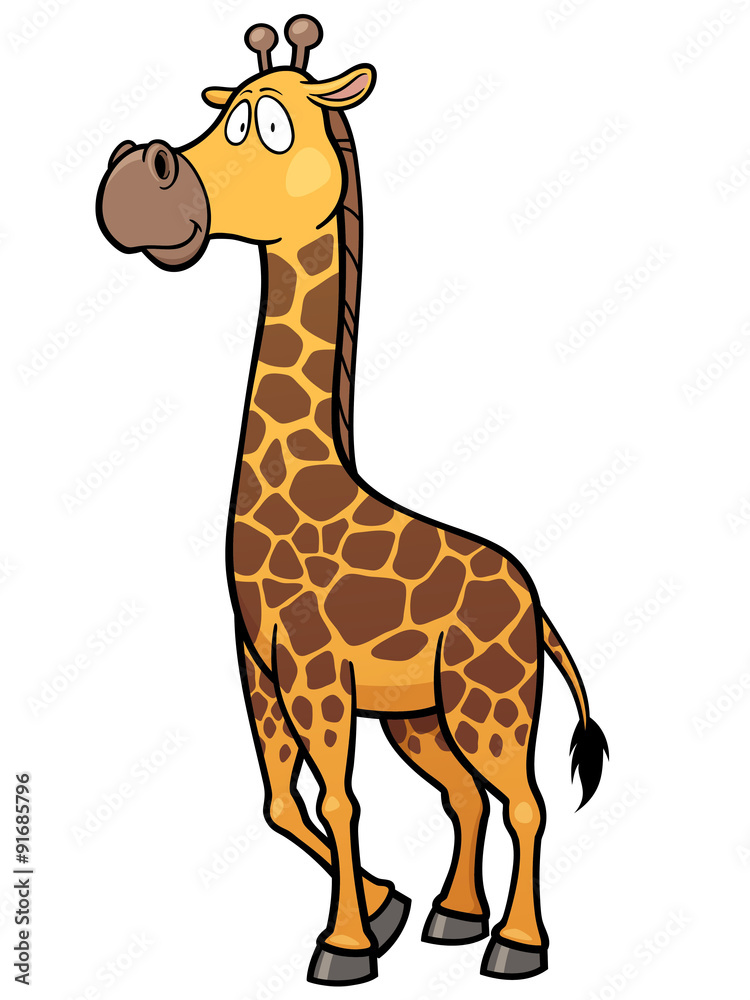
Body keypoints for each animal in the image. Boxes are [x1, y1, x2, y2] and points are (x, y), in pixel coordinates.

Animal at [96, 15, 609, 985]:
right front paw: (384, 909)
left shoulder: (316, 668)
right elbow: (283, 803)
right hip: (420, 714)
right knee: (465, 798)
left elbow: (336, 802)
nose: (136, 177)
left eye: (269, 127)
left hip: (491, 695)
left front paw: (343, 949)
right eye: (223, 111)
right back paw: (453, 918)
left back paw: (516, 947)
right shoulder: (259, 668)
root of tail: (535, 601)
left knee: (521, 801)